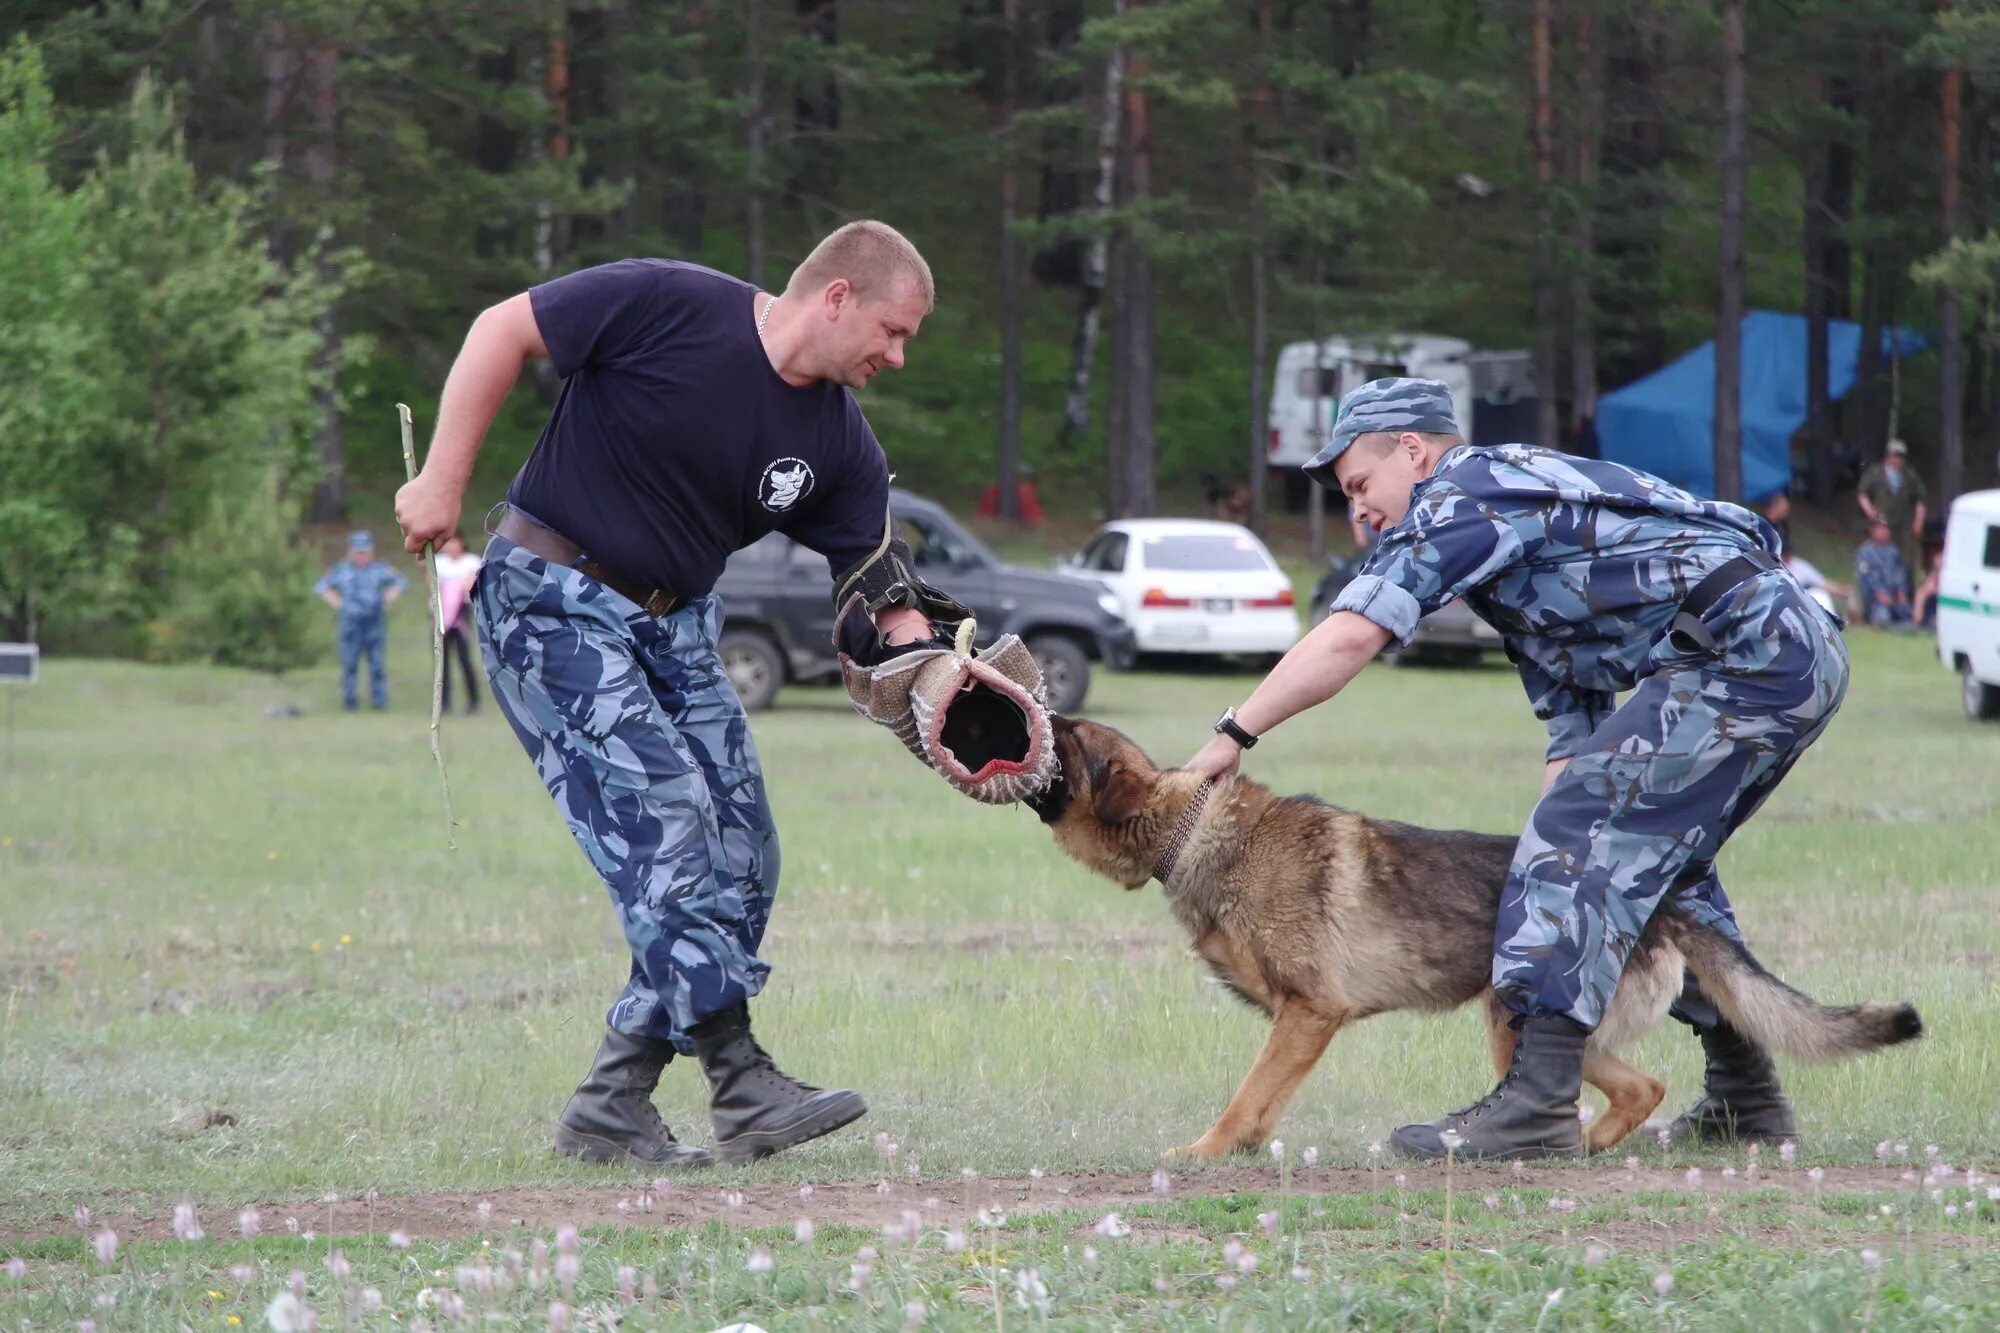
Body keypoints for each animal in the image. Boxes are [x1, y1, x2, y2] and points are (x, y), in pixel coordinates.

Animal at [1032, 712, 1920, 1160]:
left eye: (1068, 735)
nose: (1037, 698)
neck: (1191, 830)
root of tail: (1664, 903)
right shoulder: (1297, 1022)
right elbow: (1263, 1101)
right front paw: (1244, 1148)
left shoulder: (1309, 1013)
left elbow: (1246, 1092)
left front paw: (1206, 1149)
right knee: (1645, 1086)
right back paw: (1586, 1143)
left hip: (1512, 1021)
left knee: (1625, 1088)